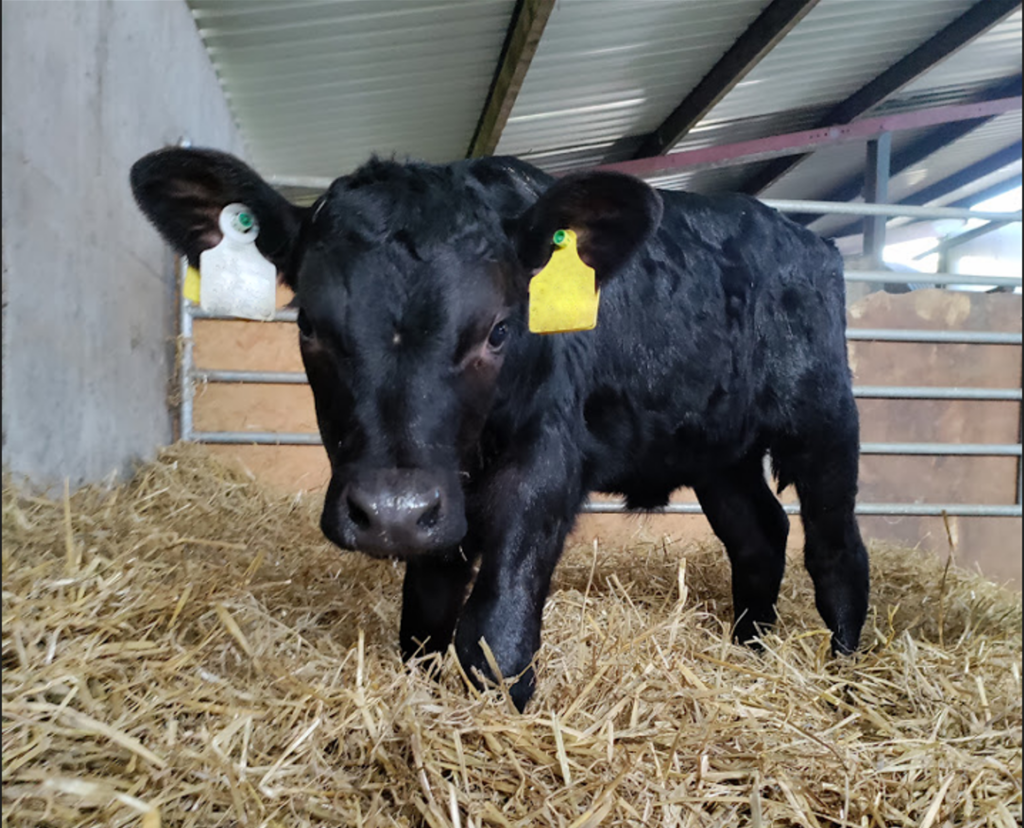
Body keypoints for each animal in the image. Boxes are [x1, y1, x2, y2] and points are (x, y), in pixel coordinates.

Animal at [131, 148, 870, 711]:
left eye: (498, 329)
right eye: (308, 324)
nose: (390, 512)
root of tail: (807, 238)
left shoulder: (543, 464)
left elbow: (494, 634)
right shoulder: (441, 495)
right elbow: (424, 617)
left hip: (825, 418)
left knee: (837, 553)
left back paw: (844, 677)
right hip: (718, 451)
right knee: (759, 534)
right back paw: (751, 651)